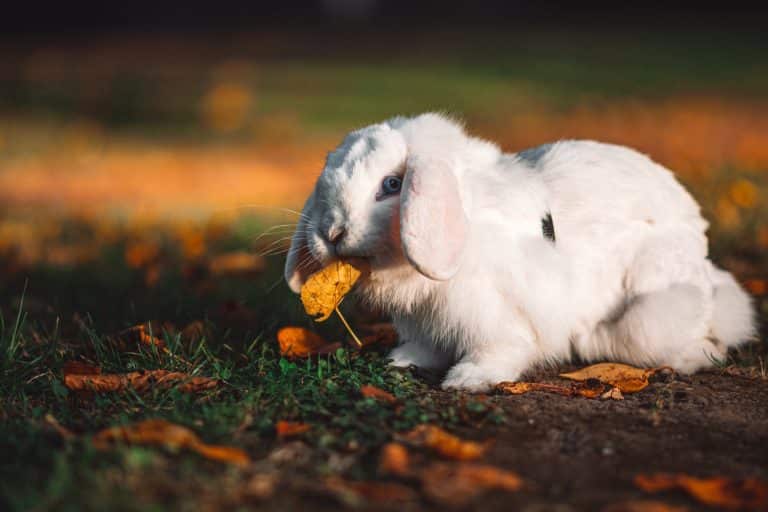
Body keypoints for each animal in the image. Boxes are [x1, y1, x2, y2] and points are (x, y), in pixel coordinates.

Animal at [284, 112, 756, 392]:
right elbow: (426, 345)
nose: (331, 231)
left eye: (391, 185)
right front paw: (404, 362)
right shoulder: (425, 318)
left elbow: (500, 348)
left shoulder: (494, 312)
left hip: (653, 308)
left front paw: (469, 379)